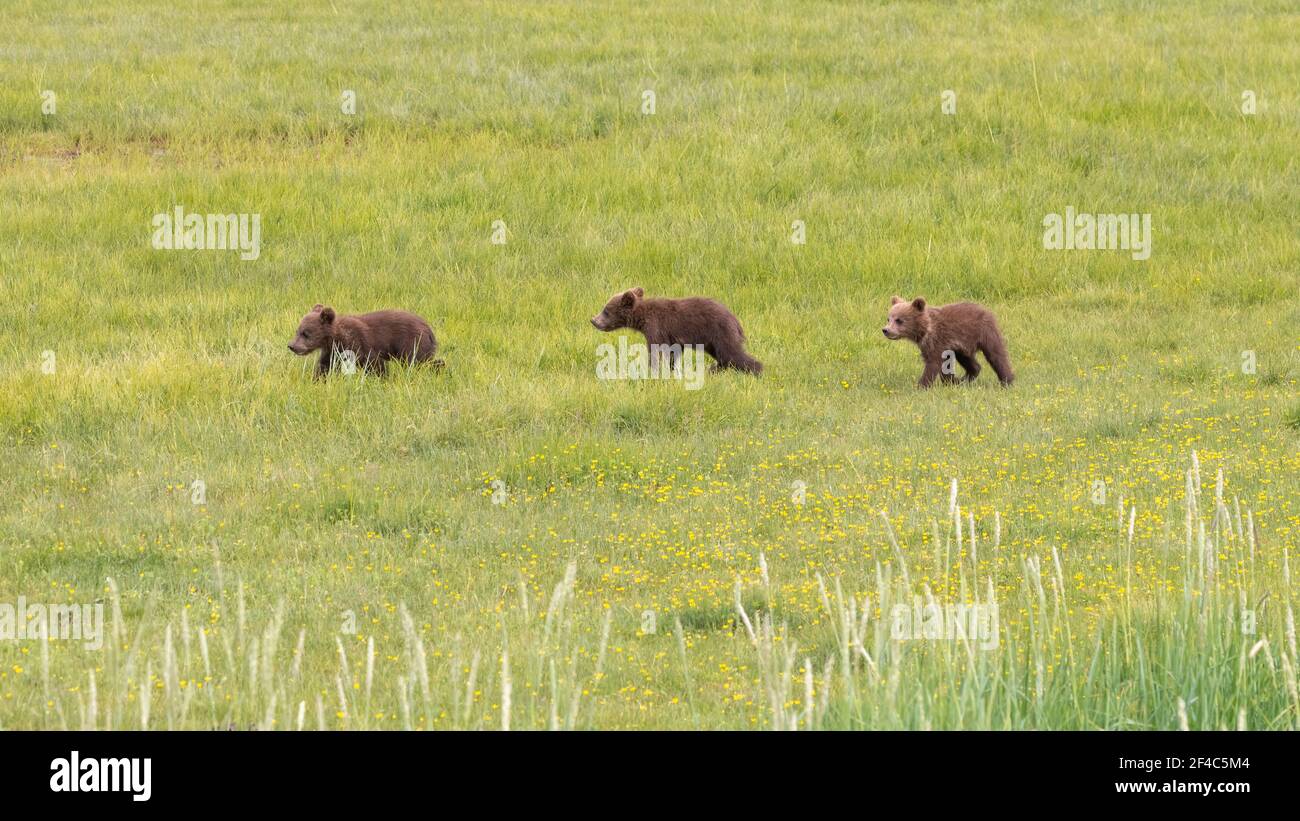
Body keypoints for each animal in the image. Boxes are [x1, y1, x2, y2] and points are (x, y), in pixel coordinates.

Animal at [288, 304, 444, 378]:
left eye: (306, 333)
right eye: (297, 331)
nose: (292, 346)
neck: (336, 339)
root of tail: (429, 329)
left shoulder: (360, 344)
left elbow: (374, 363)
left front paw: (381, 378)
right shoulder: (332, 352)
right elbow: (324, 367)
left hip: (411, 343)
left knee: (418, 361)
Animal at [590, 287, 763, 374]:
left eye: (606, 311)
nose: (593, 320)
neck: (642, 319)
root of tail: (736, 321)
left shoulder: (656, 328)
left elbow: (656, 351)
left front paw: (652, 371)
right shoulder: (673, 338)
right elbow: (673, 354)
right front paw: (672, 370)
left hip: (720, 333)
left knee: (732, 354)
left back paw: (757, 370)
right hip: (711, 342)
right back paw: (713, 369)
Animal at [882, 296, 1014, 387]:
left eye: (899, 320)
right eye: (888, 318)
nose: (886, 330)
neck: (926, 329)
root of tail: (985, 309)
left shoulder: (938, 341)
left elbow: (933, 363)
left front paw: (921, 385)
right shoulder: (933, 345)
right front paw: (951, 381)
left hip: (985, 333)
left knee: (996, 355)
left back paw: (1007, 381)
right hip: (963, 346)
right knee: (971, 362)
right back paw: (964, 379)